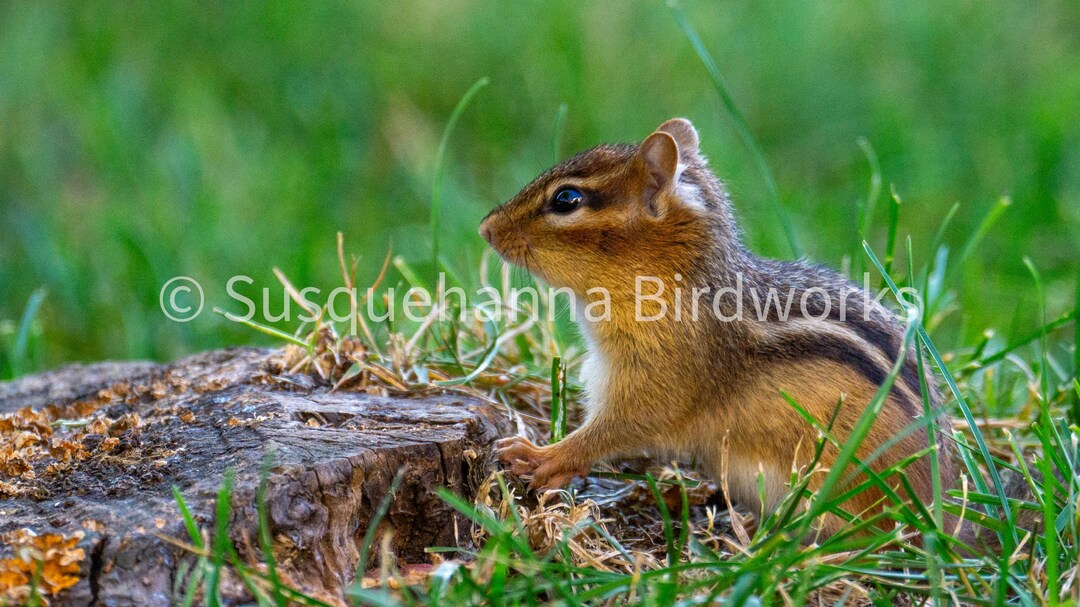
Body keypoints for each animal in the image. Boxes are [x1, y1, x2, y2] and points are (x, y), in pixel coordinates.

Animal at [479, 118, 957, 538]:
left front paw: (543, 455)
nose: (486, 228)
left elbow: (620, 428)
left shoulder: (661, 379)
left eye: (566, 199)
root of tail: (951, 518)